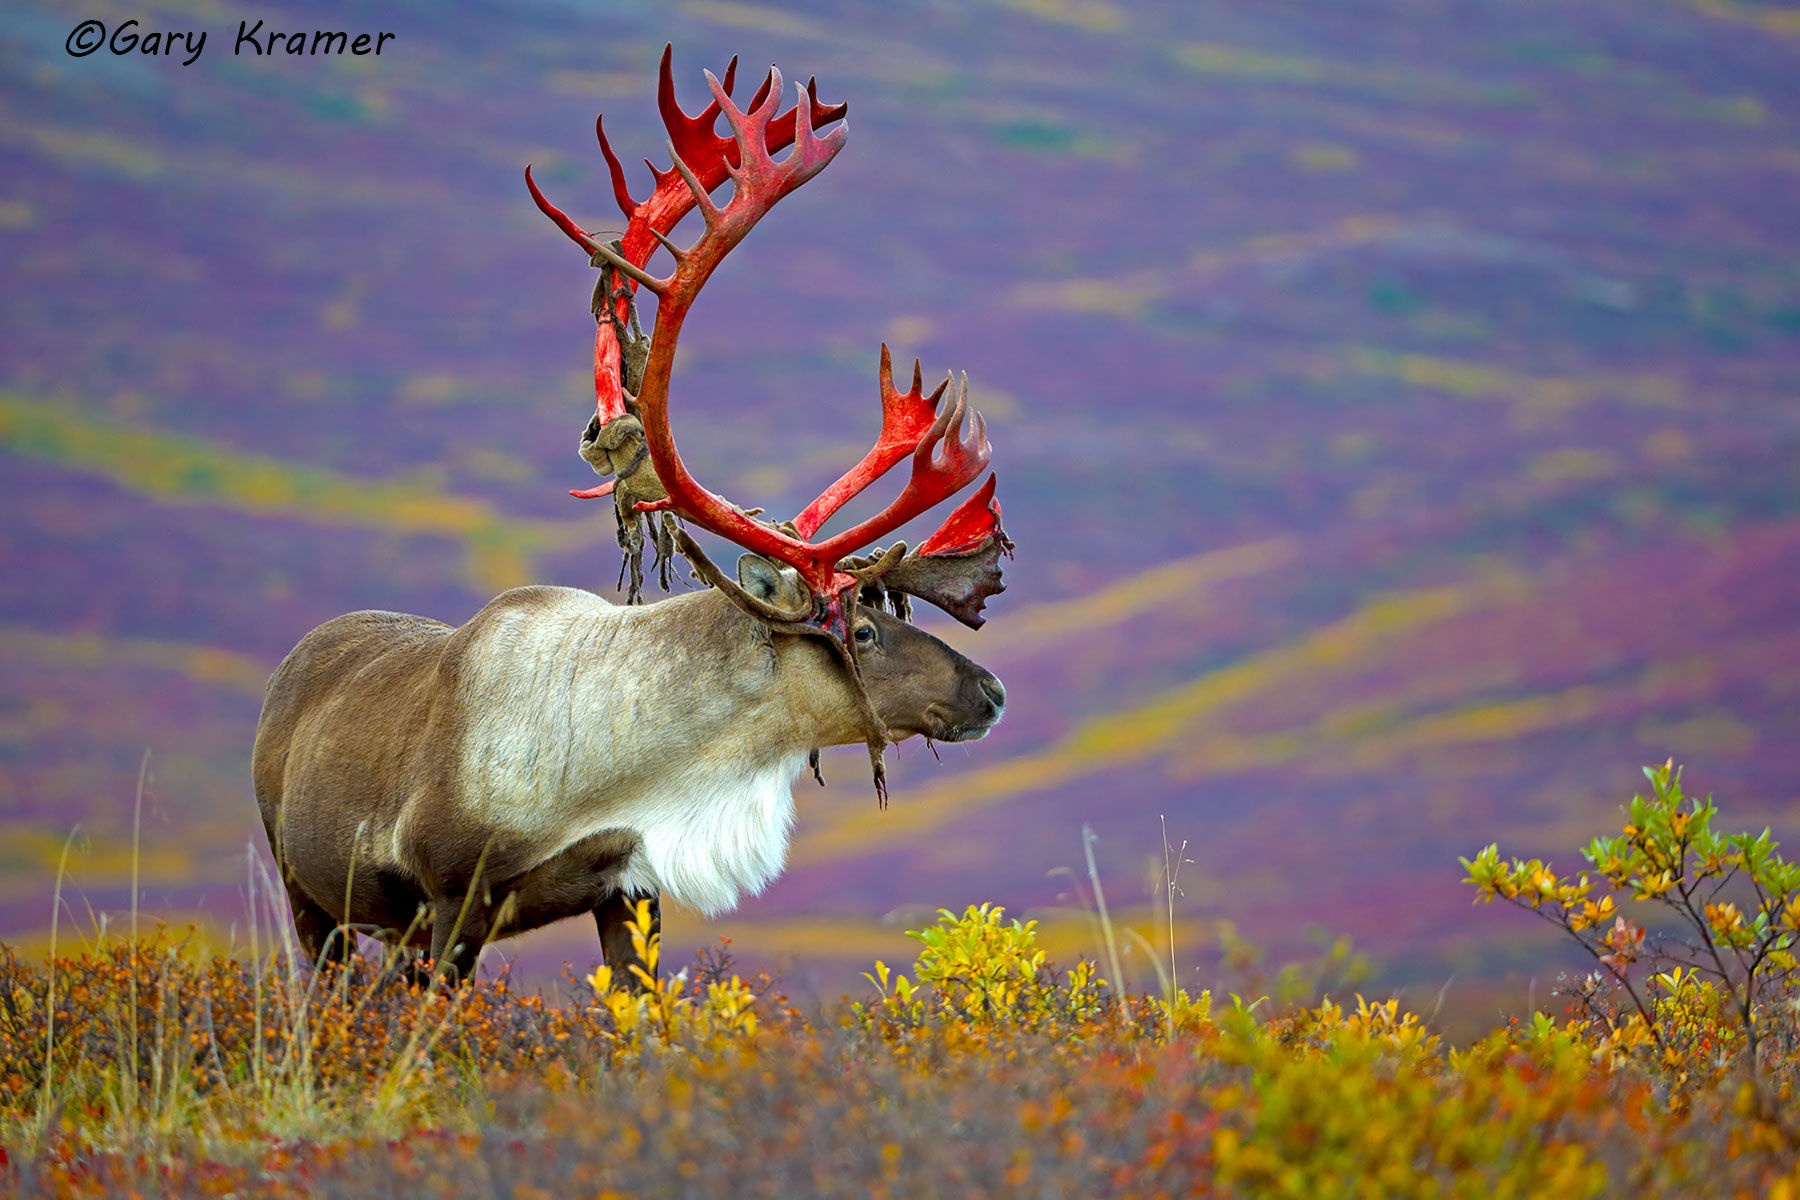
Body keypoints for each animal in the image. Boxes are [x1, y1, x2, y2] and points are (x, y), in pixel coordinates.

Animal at [252, 48, 1015, 989]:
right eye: (861, 631)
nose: (991, 691)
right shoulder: (451, 897)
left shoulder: (628, 888)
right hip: (308, 892)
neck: (638, 770)